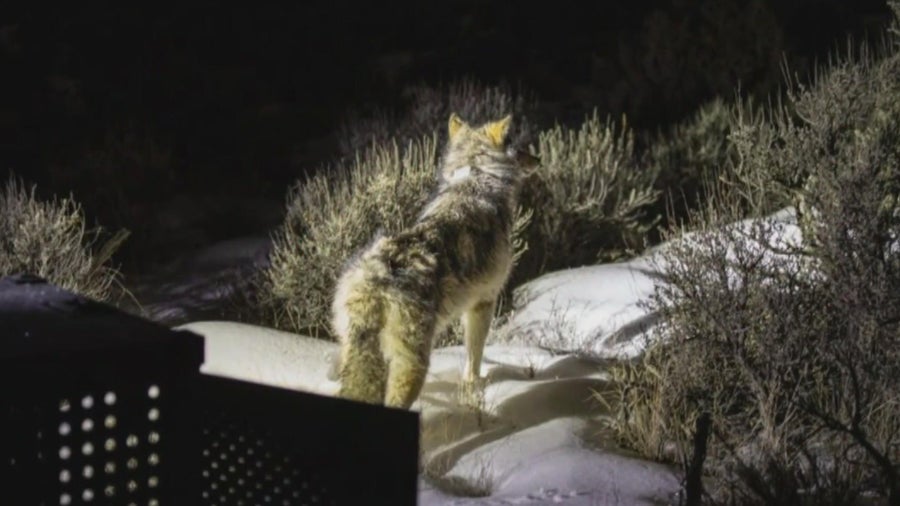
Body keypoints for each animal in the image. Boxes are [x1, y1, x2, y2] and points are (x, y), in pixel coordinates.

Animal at [331, 113, 538, 409]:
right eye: (517, 146)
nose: (538, 160)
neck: (477, 176)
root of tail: (375, 277)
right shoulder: (484, 302)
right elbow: (474, 359)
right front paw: (475, 391)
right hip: (413, 367)